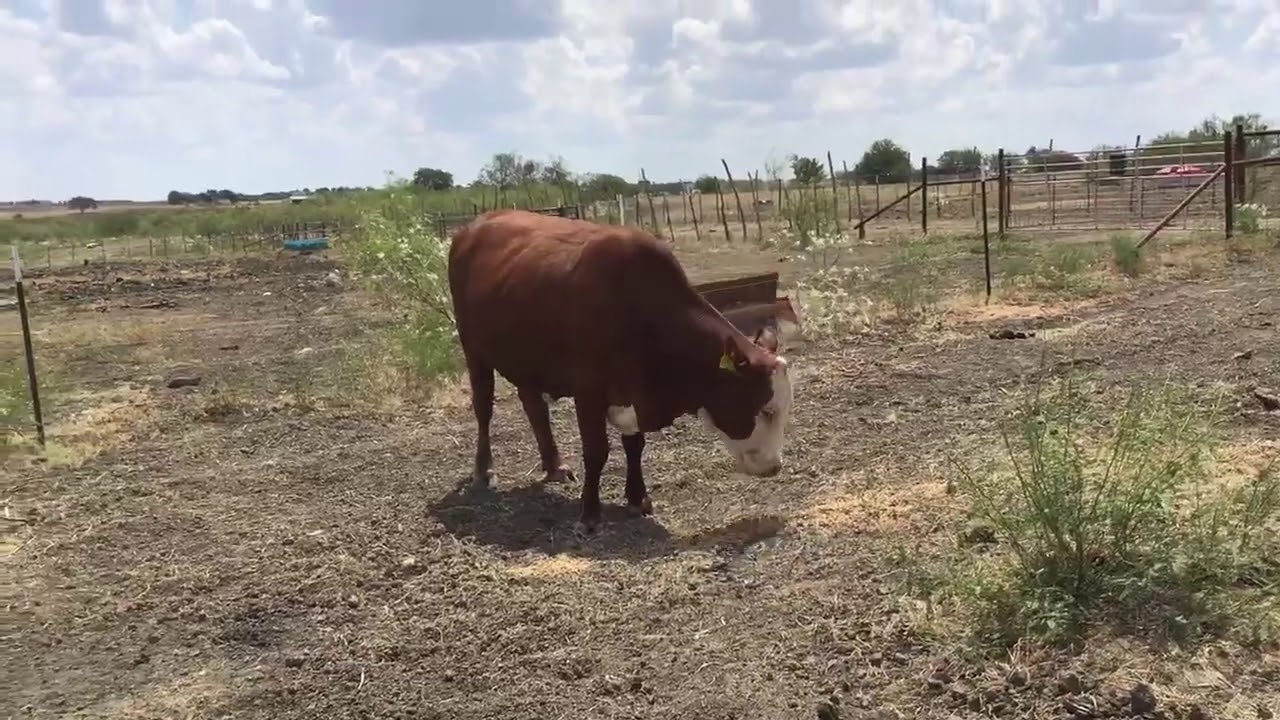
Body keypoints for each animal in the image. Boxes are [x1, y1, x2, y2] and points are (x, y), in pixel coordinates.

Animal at [447, 209, 795, 533]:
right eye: (766, 409)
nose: (775, 467)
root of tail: (472, 226)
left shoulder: (634, 390)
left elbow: (634, 446)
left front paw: (637, 497)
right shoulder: (589, 389)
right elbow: (596, 451)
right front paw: (589, 514)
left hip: (527, 358)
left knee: (534, 406)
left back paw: (554, 465)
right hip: (473, 350)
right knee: (483, 407)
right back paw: (484, 470)